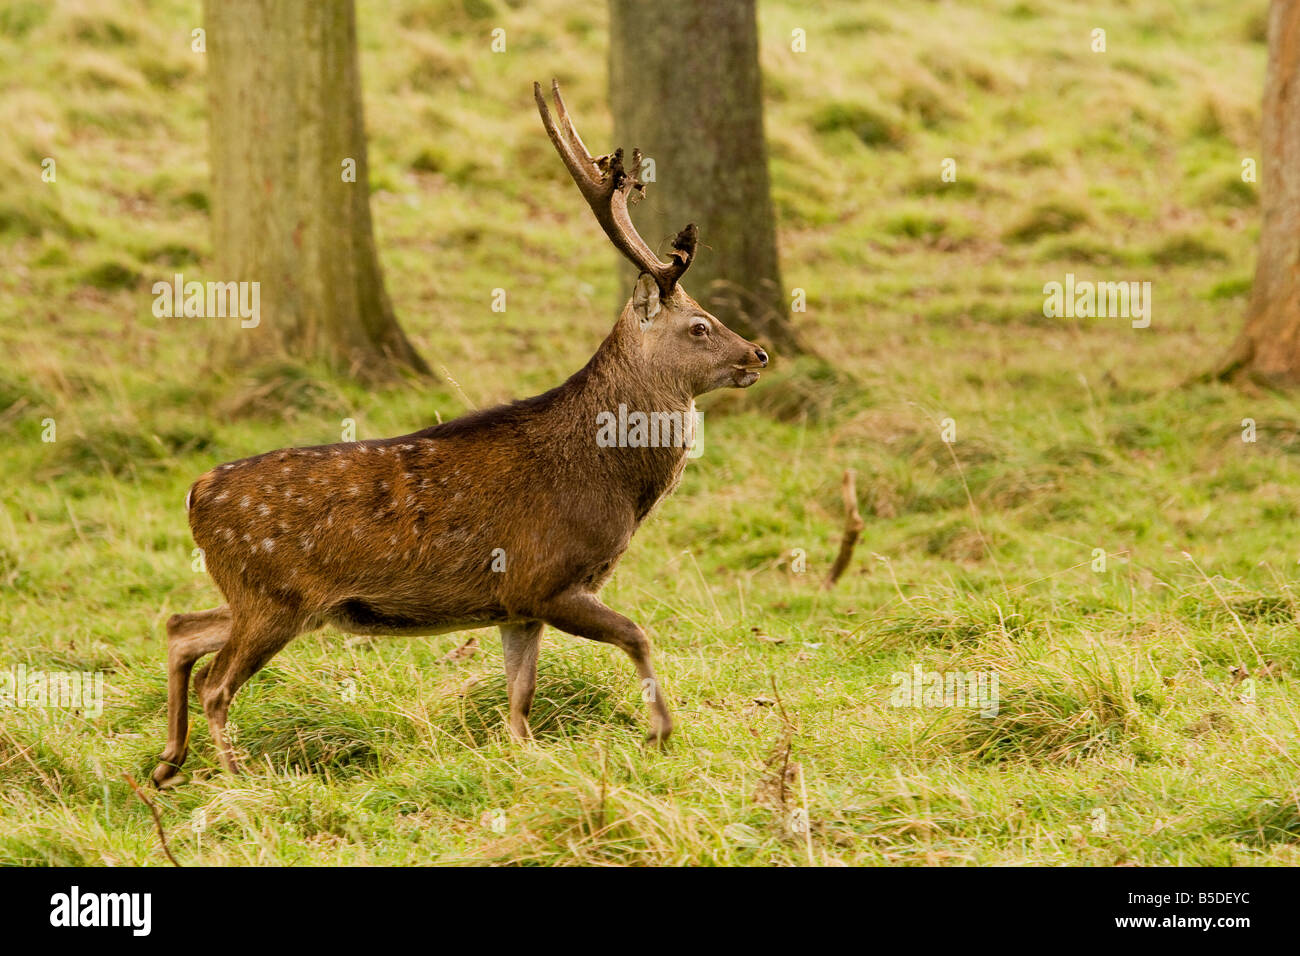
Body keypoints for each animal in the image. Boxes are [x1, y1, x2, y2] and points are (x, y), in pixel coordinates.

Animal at [152, 80, 770, 788]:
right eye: (699, 325)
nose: (758, 353)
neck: (614, 486)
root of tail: (195, 494)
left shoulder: (517, 605)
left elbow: (520, 701)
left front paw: (526, 760)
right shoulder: (544, 578)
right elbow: (638, 633)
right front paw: (661, 730)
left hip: (259, 597)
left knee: (182, 627)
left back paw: (168, 762)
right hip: (273, 596)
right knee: (217, 682)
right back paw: (237, 776)